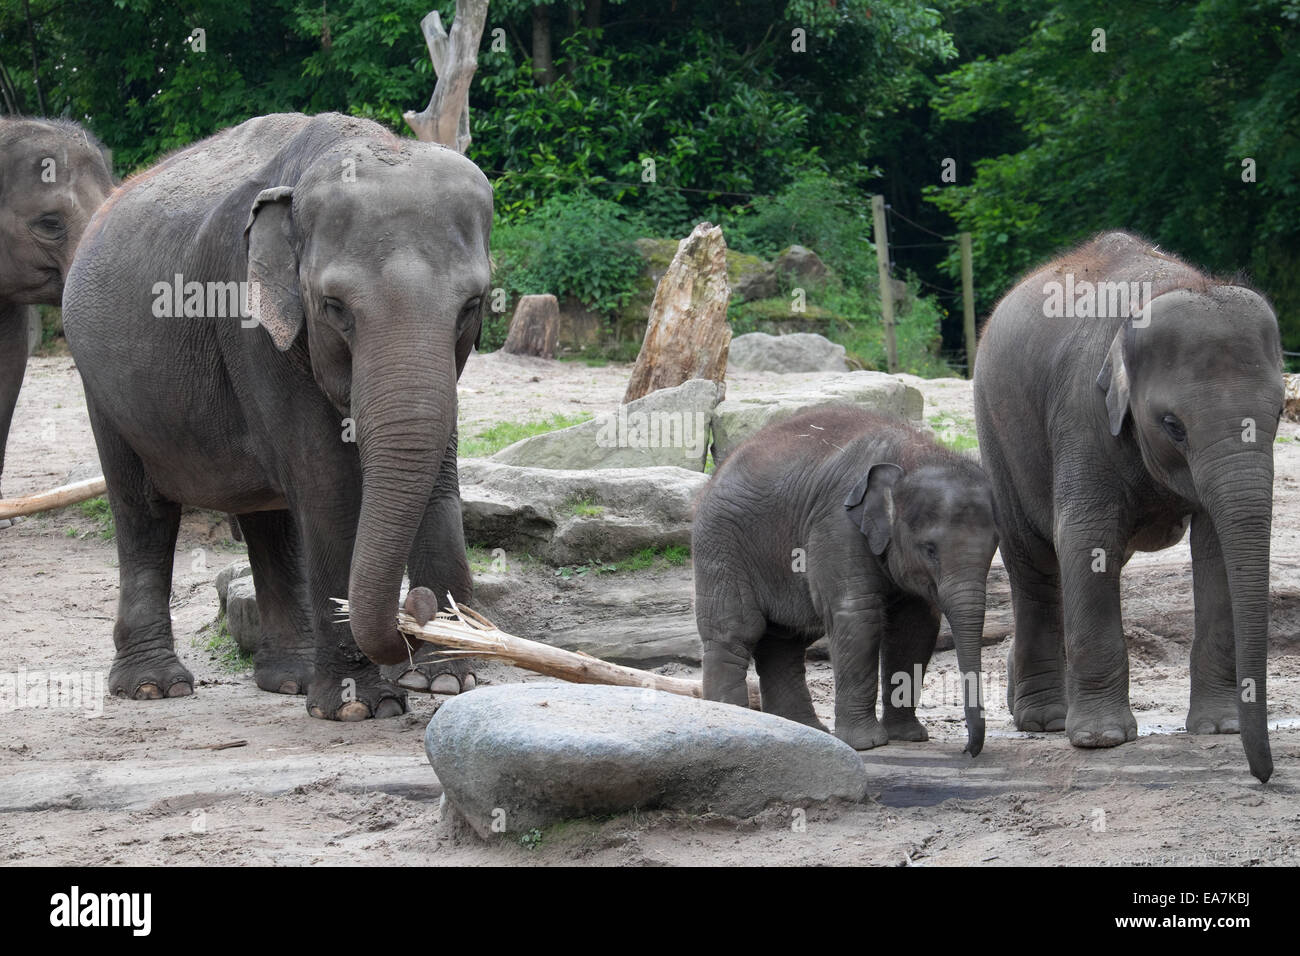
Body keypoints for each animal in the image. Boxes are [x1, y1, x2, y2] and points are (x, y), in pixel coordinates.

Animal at [61, 112, 492, 720]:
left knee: (270, 519)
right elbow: (328, 486)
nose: (421, 609)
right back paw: (155, 687)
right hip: (102, 386)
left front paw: (450, 680)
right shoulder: (251, 323)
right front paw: (359, 707)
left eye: (472, 305)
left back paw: (290, 678)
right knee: (142, 509)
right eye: (334, 307)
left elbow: (436, 475)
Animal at [693, 406, 998, 755]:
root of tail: (717, 471)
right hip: (721, 545)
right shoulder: (838, 525)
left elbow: (916, 626)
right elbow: (858, 617)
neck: (914, 455)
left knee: (784, 641)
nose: (967, 750)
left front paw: (908, 737)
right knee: (736, 632)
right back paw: (736, 720)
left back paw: (805, 730)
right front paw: (868, 745)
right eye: (930, 549)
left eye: (995, 545)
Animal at [973, 231, 1284, 782]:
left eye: (1282, 413)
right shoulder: (1081, 414)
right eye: (1173, 425)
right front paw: (1101, 740)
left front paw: (1220, 727)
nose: (1263, 775)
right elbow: (1086, 539)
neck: (1174, 286)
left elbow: (1215, 550)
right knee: (1033, 562)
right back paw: (1046, 720)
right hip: (997, 429)